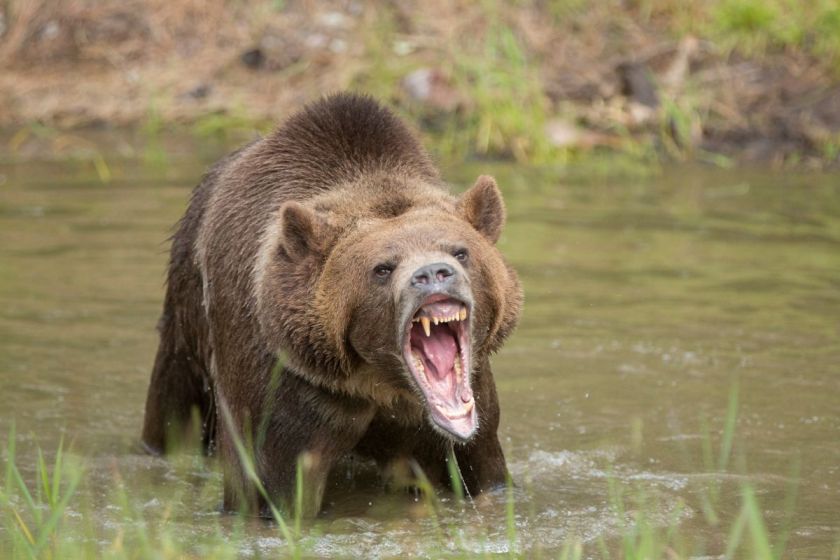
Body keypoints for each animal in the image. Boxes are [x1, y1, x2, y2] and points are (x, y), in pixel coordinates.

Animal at [141, 92, 523, 516]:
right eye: (382, 268)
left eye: (460, 251)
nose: (433, 273)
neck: (380, 381)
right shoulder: (289, 387)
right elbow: (270, 484)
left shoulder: (467, 408)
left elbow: (481, 467)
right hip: (188, 317)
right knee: (175, 405)